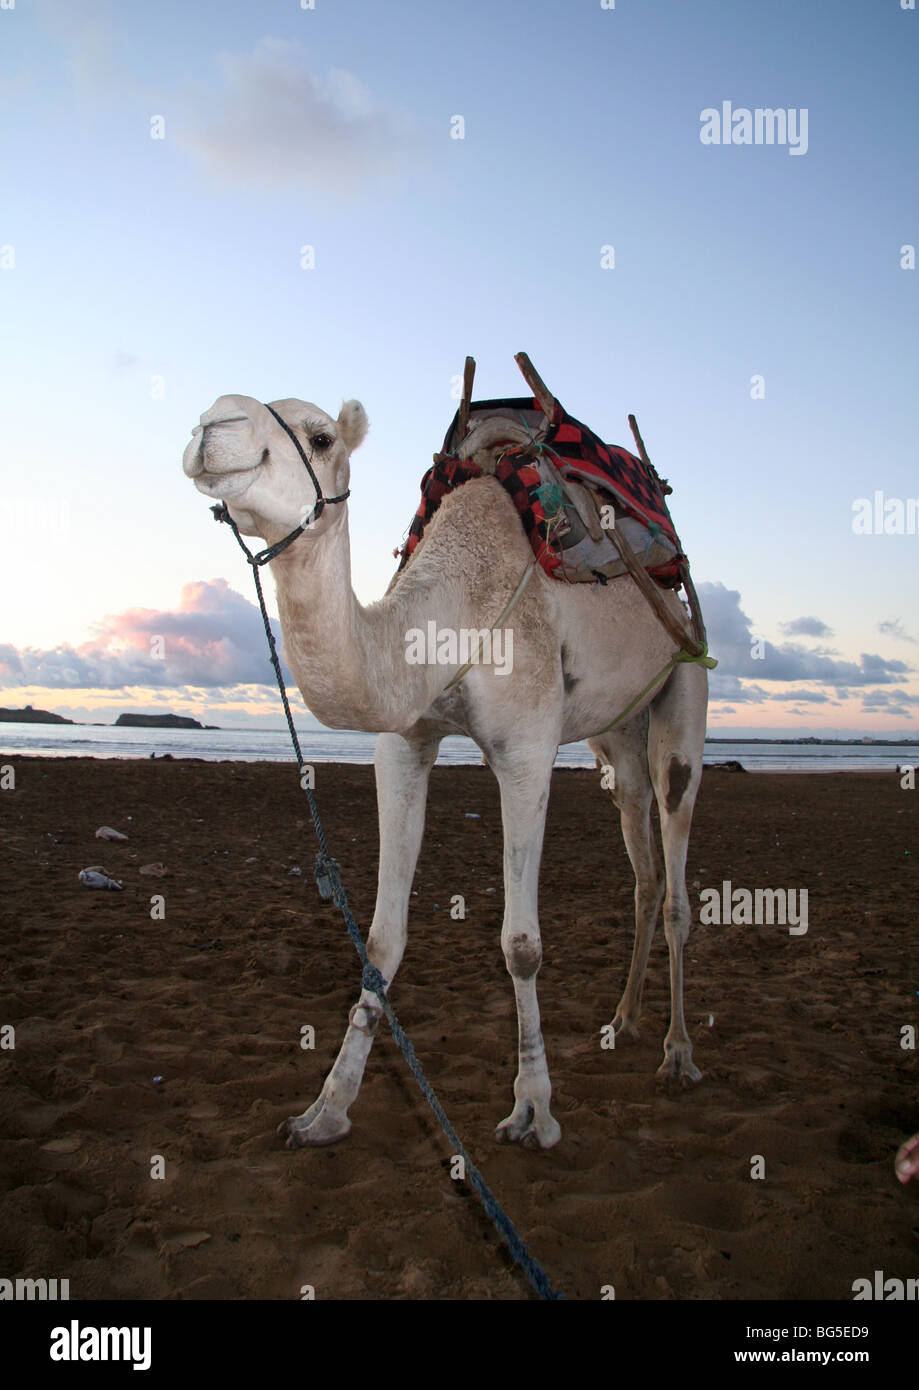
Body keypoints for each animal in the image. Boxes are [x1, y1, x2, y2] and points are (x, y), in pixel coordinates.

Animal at [182, 374, 710, 1151]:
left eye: (320, 438)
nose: (211, 425)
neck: (450, 609)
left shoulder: (526, 749)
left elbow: (520, 944)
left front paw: (532, 1110)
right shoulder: (404, 744)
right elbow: (379, 942)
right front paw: (325, 1109)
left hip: (685, 681)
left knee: (674, 862)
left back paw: (676, 1052)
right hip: (615, 732)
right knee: (640, 851)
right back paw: (624, 1019)